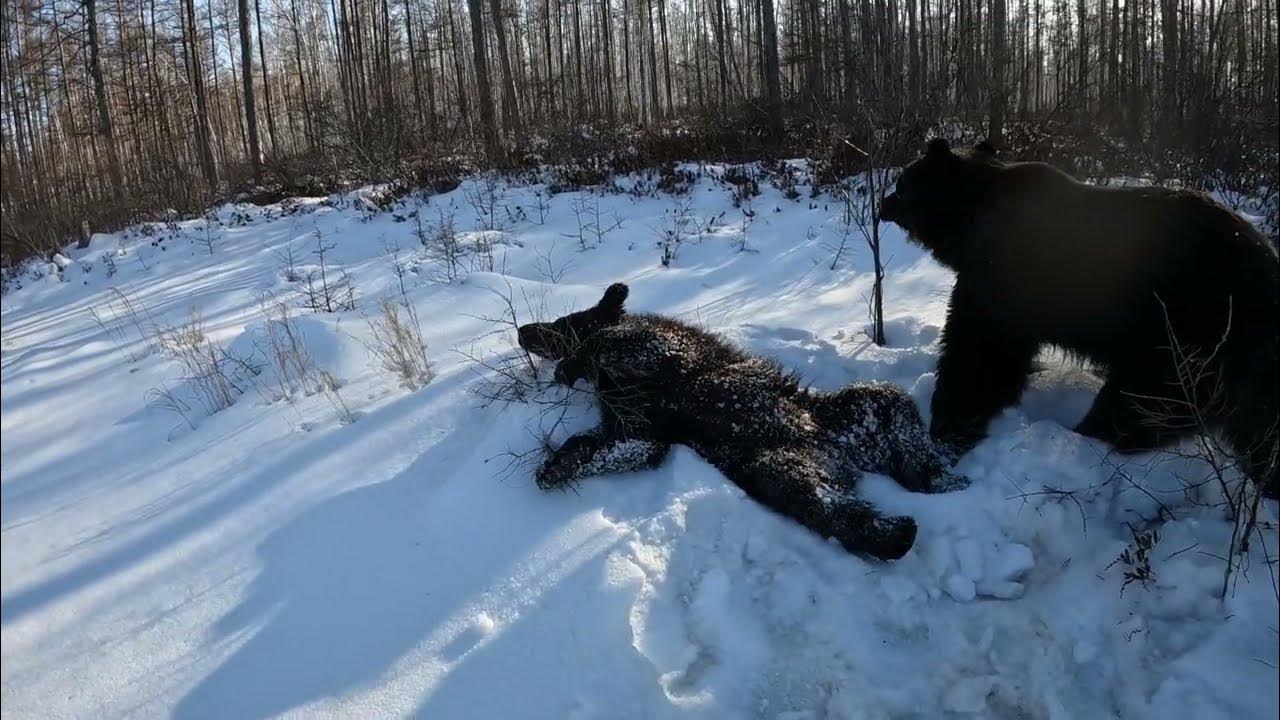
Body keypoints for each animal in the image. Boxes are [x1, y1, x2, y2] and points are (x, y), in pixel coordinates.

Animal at [516, 283, 967, 561]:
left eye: (562, 323)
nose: (521, 330)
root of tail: (835, 455)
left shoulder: (658, 345)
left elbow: (604, 343)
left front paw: (573, 364)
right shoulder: (640, 431)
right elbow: (607, 446)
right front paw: (555, 465)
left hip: (852, 414)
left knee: (905, 427)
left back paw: (943, 484)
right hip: (779, 465)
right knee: (827, 505)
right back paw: (896, 529)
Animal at [879, 138, 1279, 497]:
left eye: (902, 182)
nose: (883, 201)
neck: (970, 225)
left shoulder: (1003, 278)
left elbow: (978, 354)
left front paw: (948, 427)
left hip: (1187, 328)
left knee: (1141, 399)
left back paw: (1087, 436)